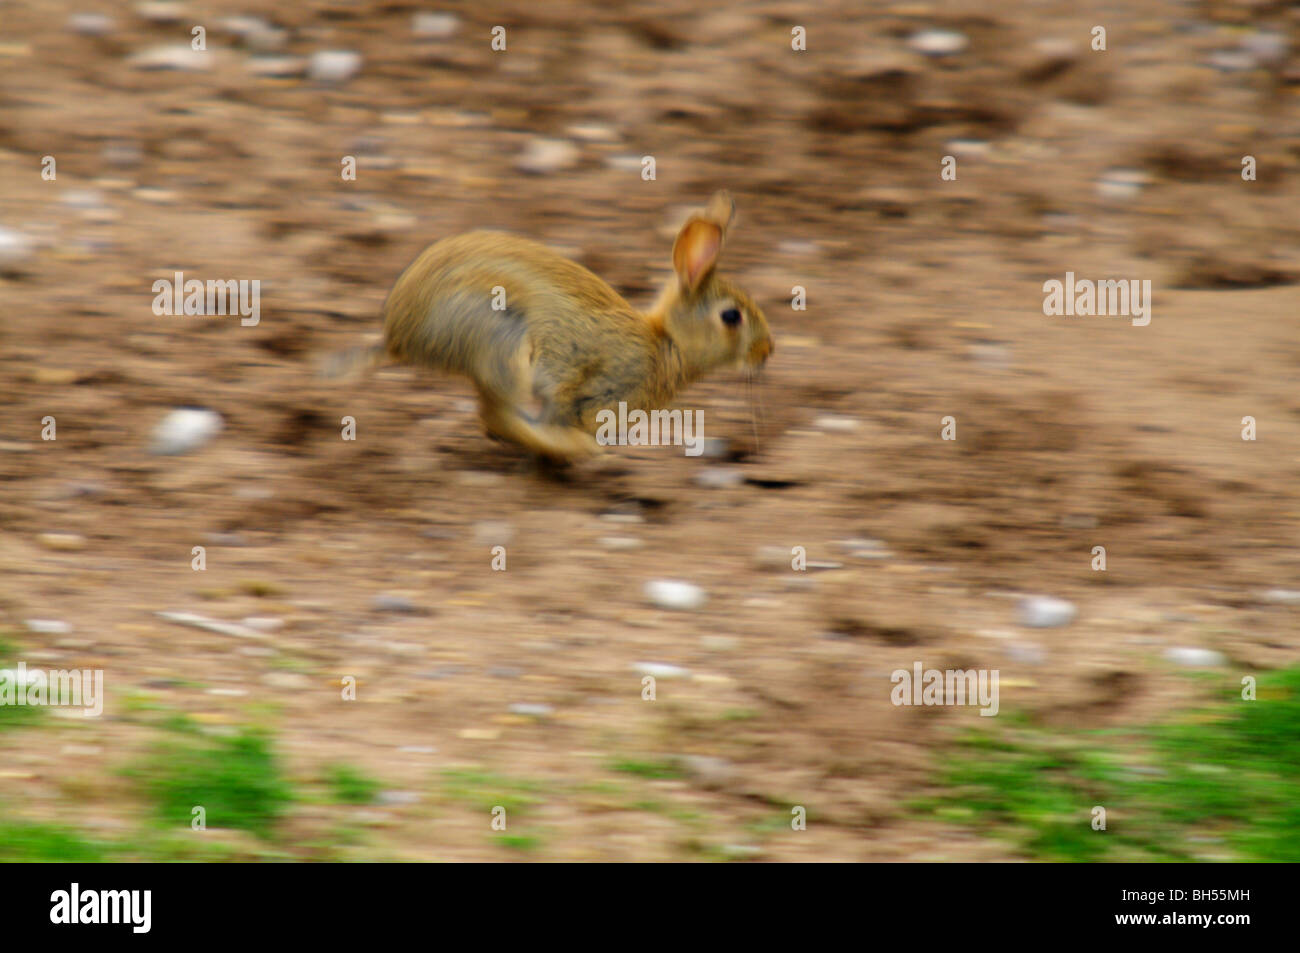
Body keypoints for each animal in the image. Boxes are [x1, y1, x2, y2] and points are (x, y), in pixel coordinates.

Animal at [369, 190, 773, 461]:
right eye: (731, 317)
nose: (767, 351)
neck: (666, 342)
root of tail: (398, 335)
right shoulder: (593, 394)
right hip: (503, 341)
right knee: (498, 416)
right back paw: (579, 450)